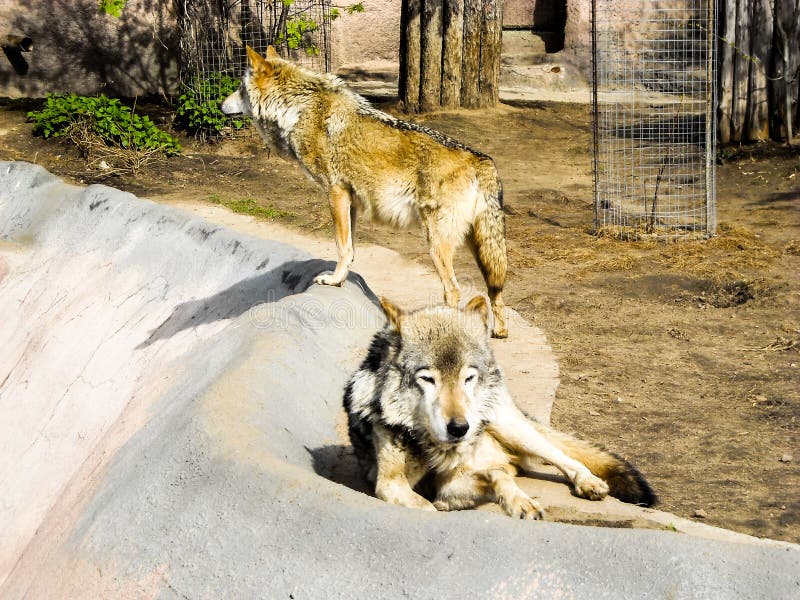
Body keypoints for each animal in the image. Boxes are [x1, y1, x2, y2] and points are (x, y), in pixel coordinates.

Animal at [221, 46, 509, 338]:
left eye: (239, 89)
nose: (222, 105)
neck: (298, 107)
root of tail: (482, 160)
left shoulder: (335, 193)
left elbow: (341, 246)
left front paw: (332, 280)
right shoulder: (351, 202)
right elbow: (350, 249)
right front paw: (342, 280)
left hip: (437, 243)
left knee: (454, 290)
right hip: (479, 245)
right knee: (494, 290)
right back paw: (499, 330)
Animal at [343, 296, 656, 519]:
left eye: (468, 378)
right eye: (428, 379)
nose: (460, 428)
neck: (433, 446)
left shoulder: (455, 476)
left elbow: (496, 475)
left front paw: (522, 503)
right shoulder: (392, 483)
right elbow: (431, 504)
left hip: (510, 427)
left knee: (564, 457)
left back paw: (589, 482)